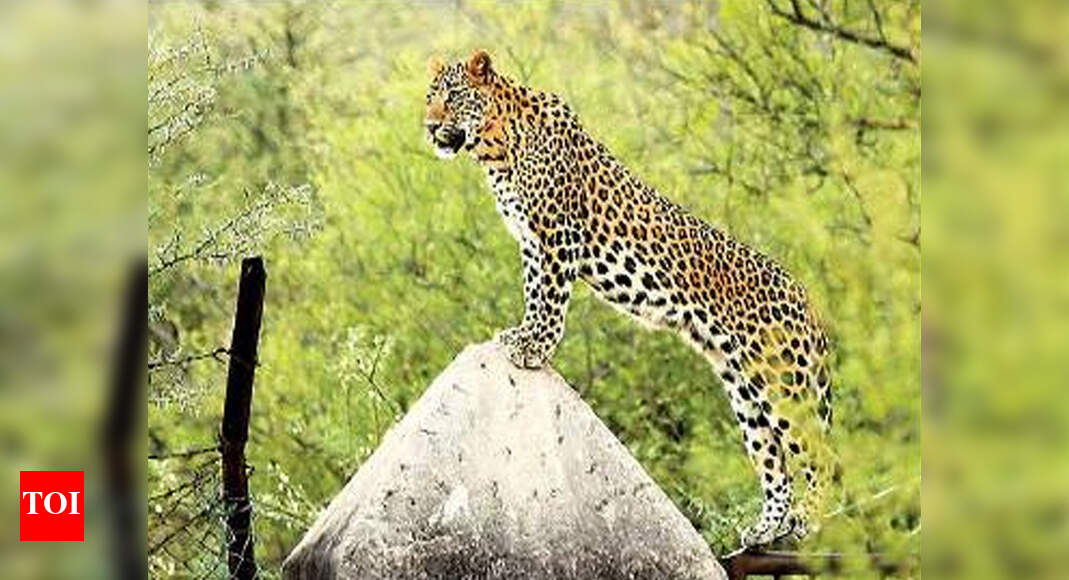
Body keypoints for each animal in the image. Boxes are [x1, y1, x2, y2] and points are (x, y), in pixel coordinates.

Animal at [424, 50, 833, 549]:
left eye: (454, 96)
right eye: (430, 96)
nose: (429, 125)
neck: (496, 146)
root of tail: (806, 299)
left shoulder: (558, 235)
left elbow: (549, 297)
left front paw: (533, 347)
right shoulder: (530, 240)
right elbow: (533, 291)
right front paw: (524, 335)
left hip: (781, 383)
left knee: (823, 457)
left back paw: (809, 519)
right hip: (744, 391)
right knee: (774, 464)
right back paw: (765, 529)